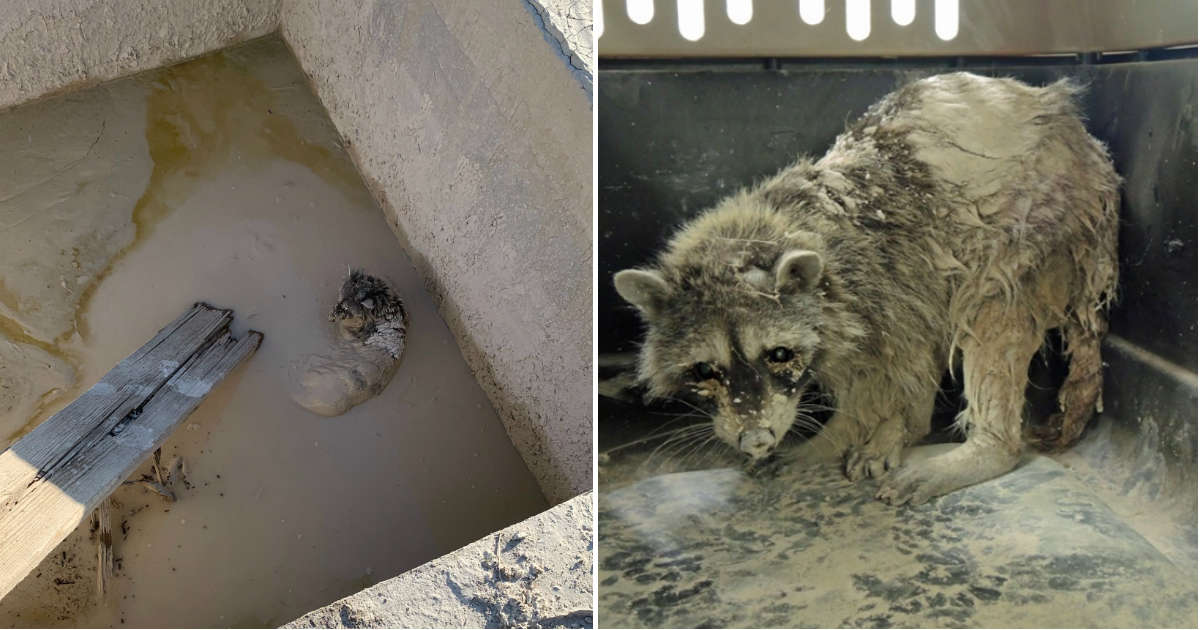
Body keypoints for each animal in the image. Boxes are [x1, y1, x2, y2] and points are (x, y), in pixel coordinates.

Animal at [614, 73, 1119, 505]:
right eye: (704, 370)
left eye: (778, 354)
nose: (755, 440)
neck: (762, 231)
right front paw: (857, 428)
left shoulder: (882, 273)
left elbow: (890, 365)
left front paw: (855, 427)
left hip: (1034, 220)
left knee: (990, 316)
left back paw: (986, 444)